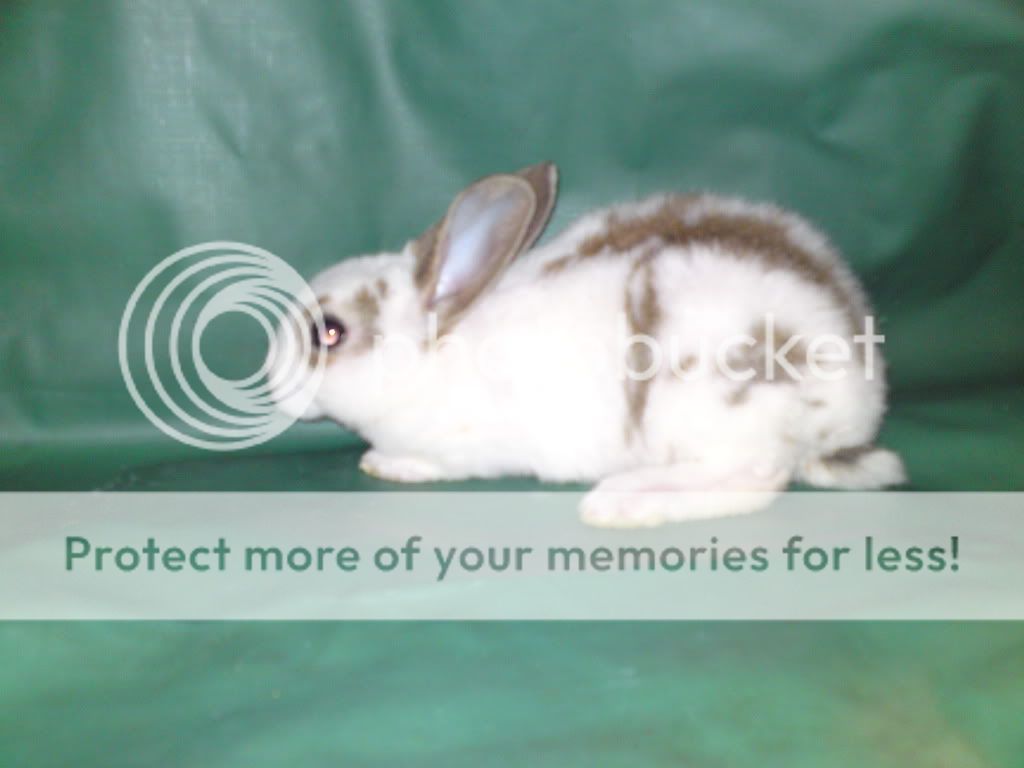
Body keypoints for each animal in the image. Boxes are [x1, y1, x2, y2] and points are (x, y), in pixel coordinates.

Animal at [267, 162, 905, 526]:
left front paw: (387, 463)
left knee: (757, 479)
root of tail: (858, 407)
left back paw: (620, 502)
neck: (432, 355)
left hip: (716, 416)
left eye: (329, 332)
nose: (271, 378)